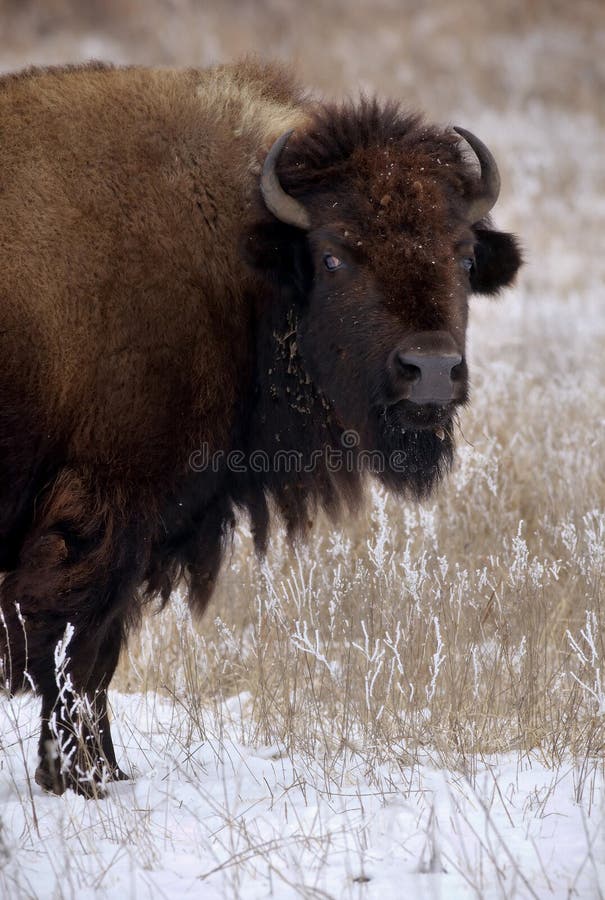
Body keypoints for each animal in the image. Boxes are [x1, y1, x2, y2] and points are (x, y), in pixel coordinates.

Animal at [0, 59, 522, 795]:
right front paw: (85, 778)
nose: (430, 370)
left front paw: (104, 772)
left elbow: (96, 656)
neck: (238, 254)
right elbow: (81, 652)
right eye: (333, 255)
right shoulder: (108, 513)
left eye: (466, 256)